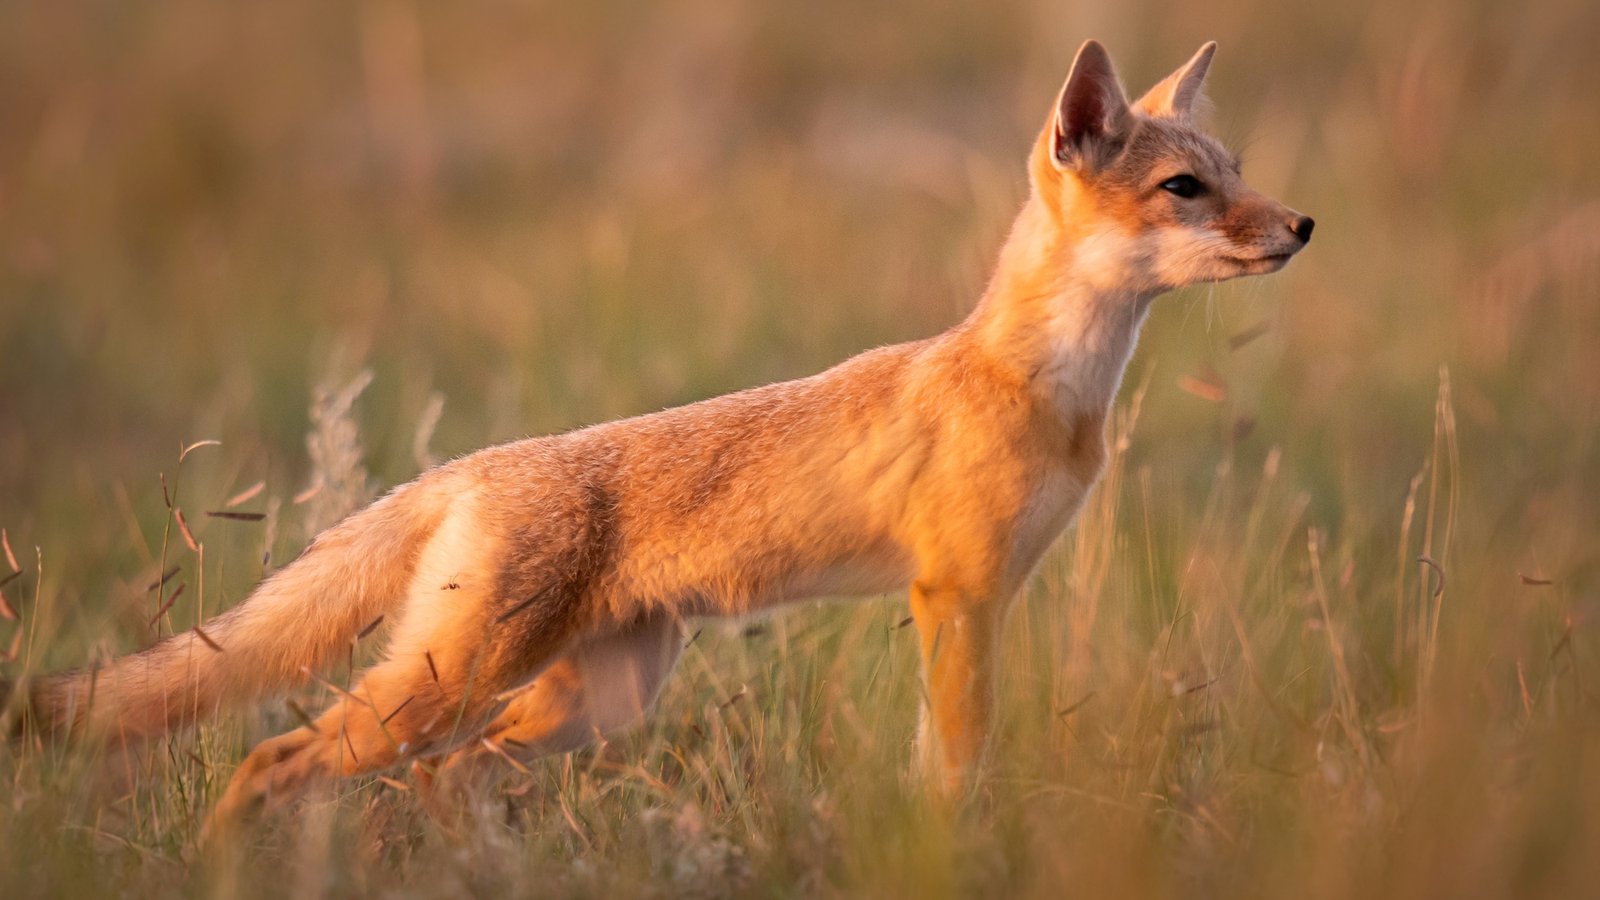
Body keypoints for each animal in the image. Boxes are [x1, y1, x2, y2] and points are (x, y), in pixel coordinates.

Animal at [8, 39, 1311, 831]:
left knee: (435, 783)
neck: (1039, 386)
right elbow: (952, 762)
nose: (1300, 226)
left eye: (1237, 175)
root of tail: (468, 467)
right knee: (274, 763)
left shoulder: (977, 598)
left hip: (582, 708)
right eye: (1186, 190)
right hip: (453, 687)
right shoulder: (956, 595)